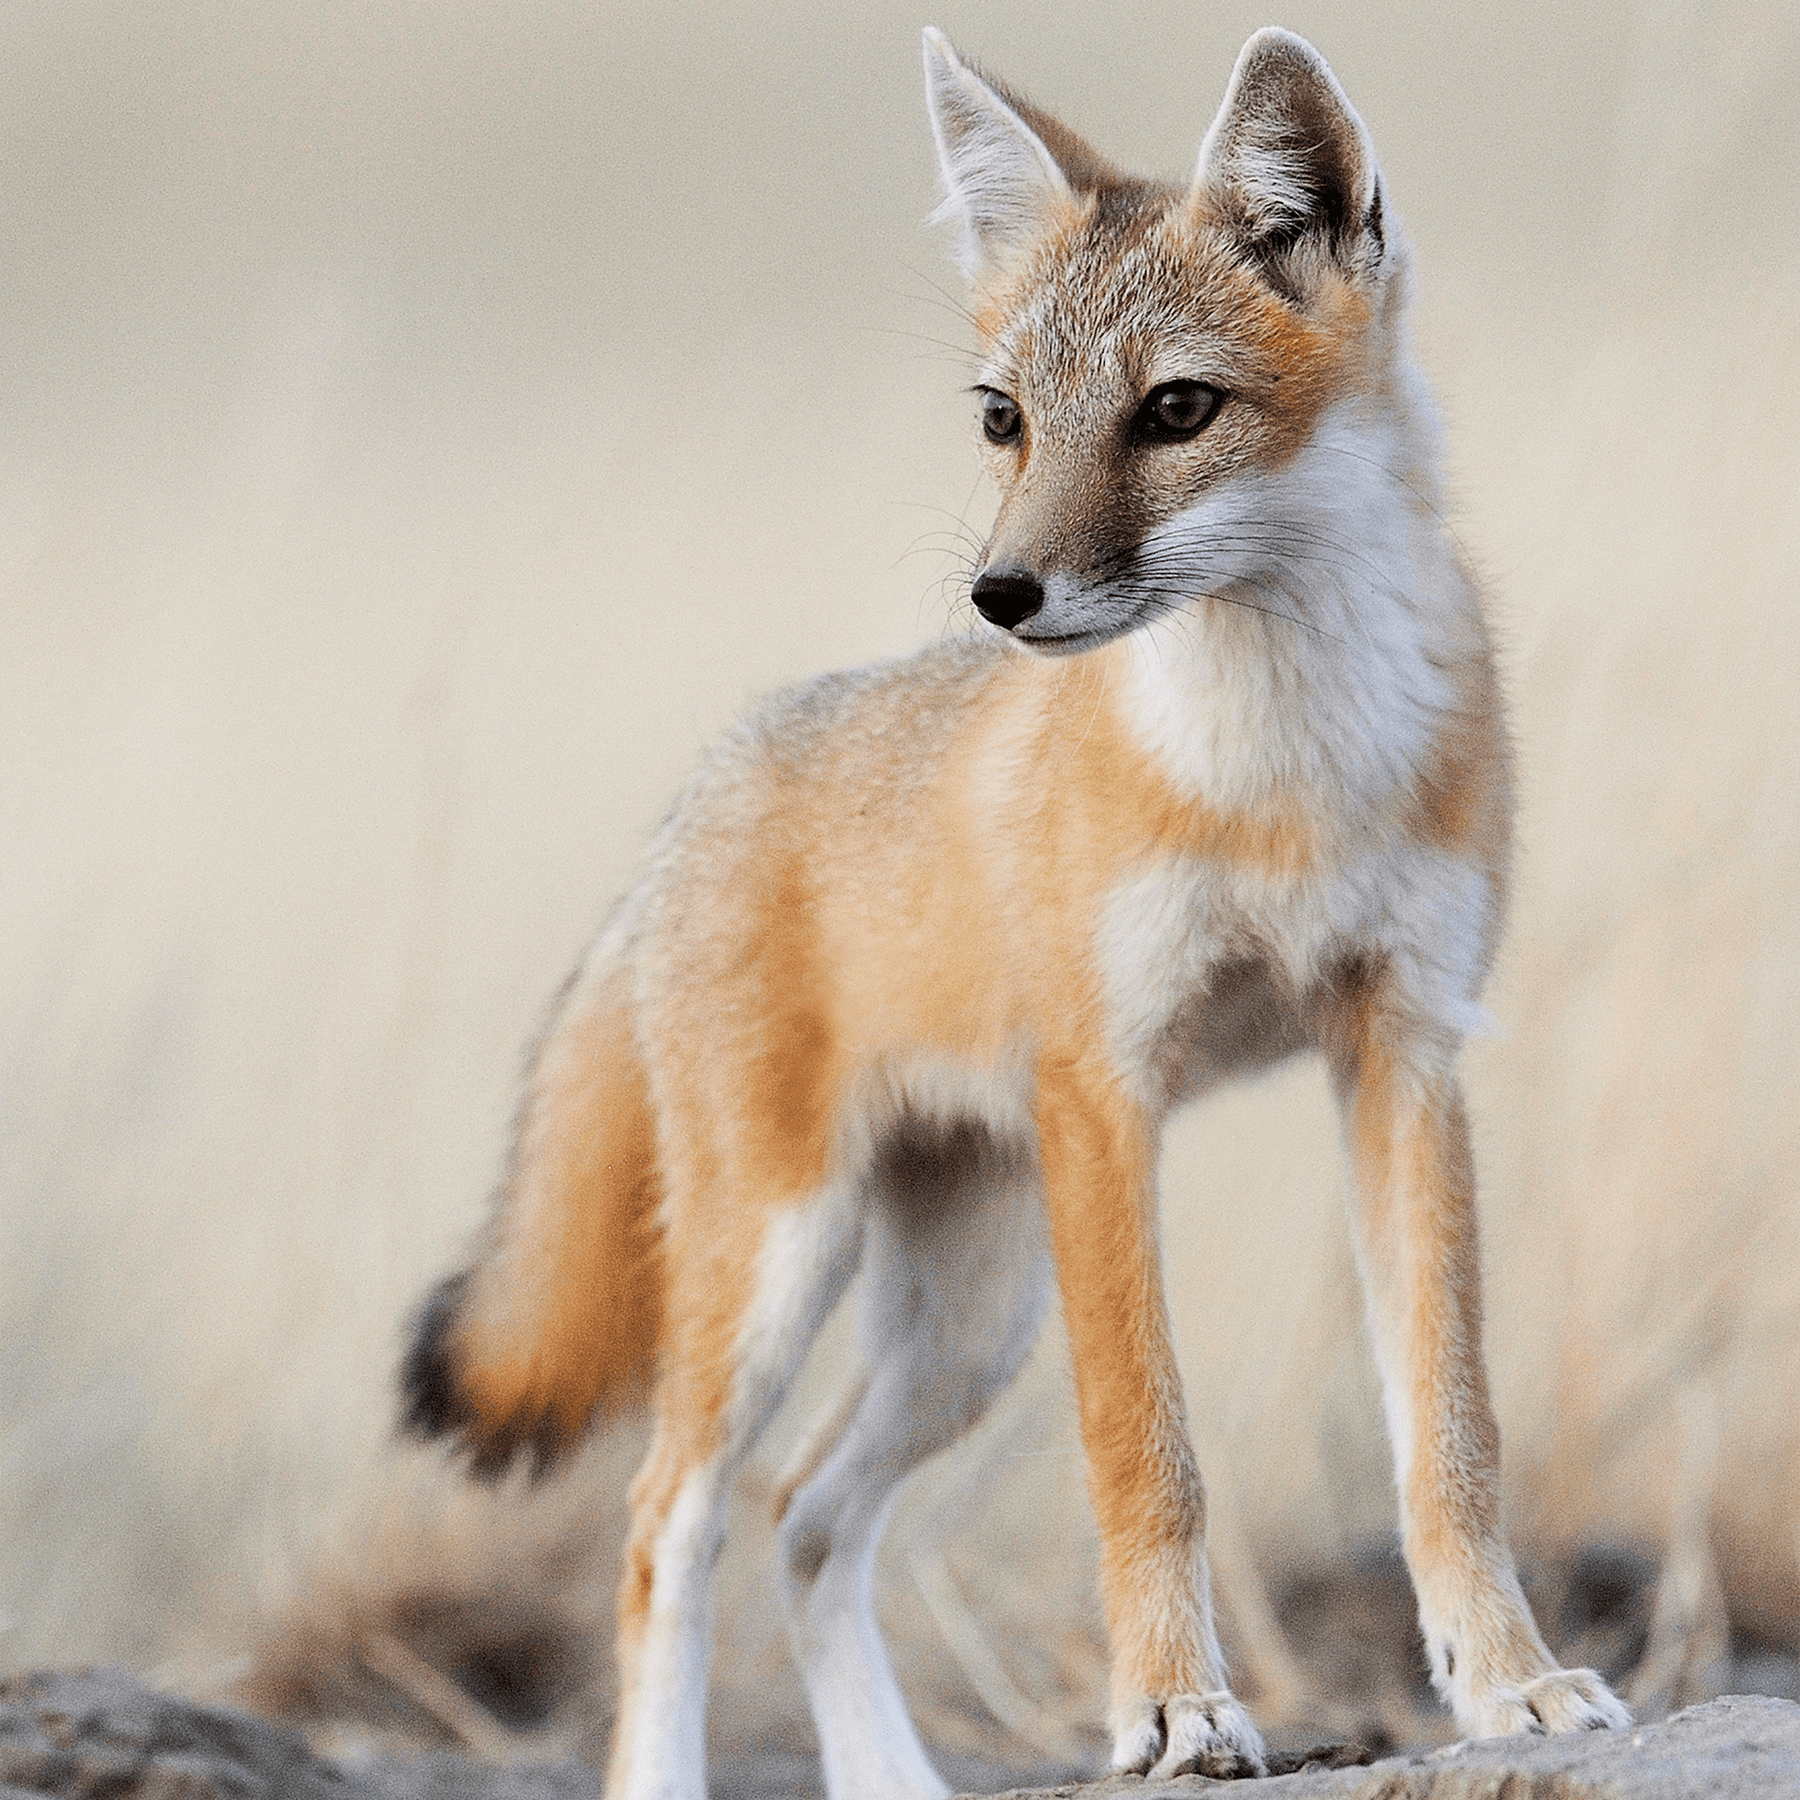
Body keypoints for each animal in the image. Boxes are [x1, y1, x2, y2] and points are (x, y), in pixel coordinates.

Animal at [399, 24, 1632, 1799]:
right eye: (1004, 420)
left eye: (1175, 409)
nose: (1001, 597)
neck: (1282, 777)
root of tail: (710, 778)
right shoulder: (1106, 1093)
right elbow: (1144, 1446)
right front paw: (1175, 1710)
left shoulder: (1405, 1049)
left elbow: (1453, 1435)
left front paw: (1510, 1684)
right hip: (781, 1273)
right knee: (668, 1522)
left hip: (966, 1322)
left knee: (805, 1515)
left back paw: (890, 1778)